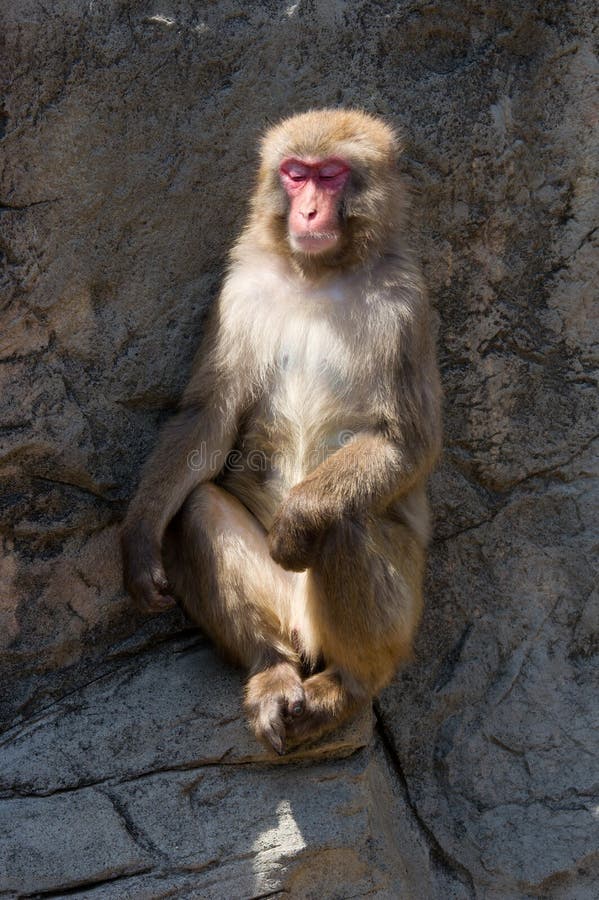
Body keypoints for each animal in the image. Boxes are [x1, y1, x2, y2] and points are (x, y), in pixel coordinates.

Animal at [121, 109, 442, 755]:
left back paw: (348, 685)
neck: (316, 274)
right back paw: (269, 667)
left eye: (331, 174)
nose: (310, 211)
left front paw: (296, 520)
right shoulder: (238, 289)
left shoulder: (405, 303)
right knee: (197, 506)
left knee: (345, 519)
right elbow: (209, 420)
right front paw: (140, 536)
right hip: (284, 606)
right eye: (296, 174)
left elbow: (406, 442)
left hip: (403, 611)